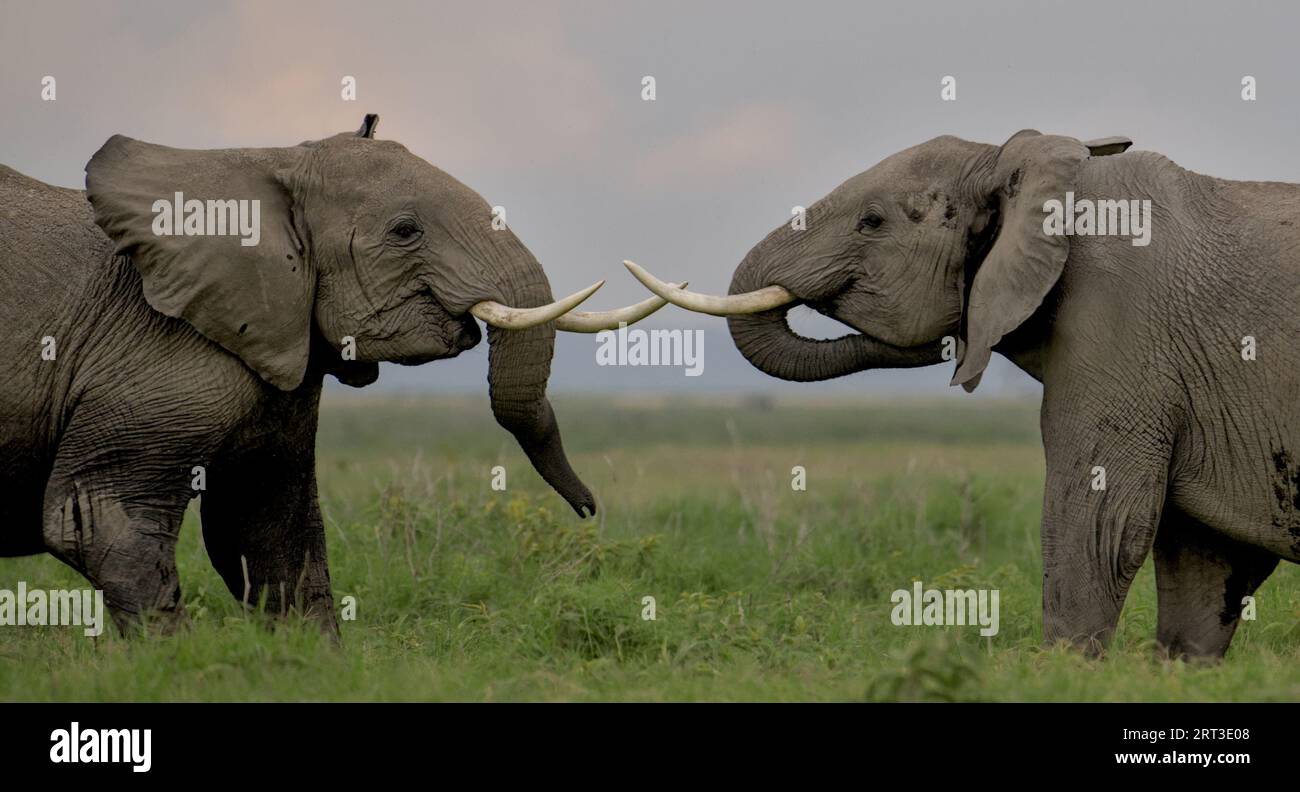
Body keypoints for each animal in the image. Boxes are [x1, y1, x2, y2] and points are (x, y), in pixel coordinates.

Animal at [0, 114, 670, 635]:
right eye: (405, 231)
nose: (589, 509)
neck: (265, 163)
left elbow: (267, 525)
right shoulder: (162, 348)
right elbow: (98, 520)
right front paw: (175, 663)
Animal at [628, 129, 1300, 660]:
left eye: (872, 222)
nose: (943, 345)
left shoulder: (1124, 333)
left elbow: (1103, 521)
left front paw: (1063, 673)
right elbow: (1206, 561)